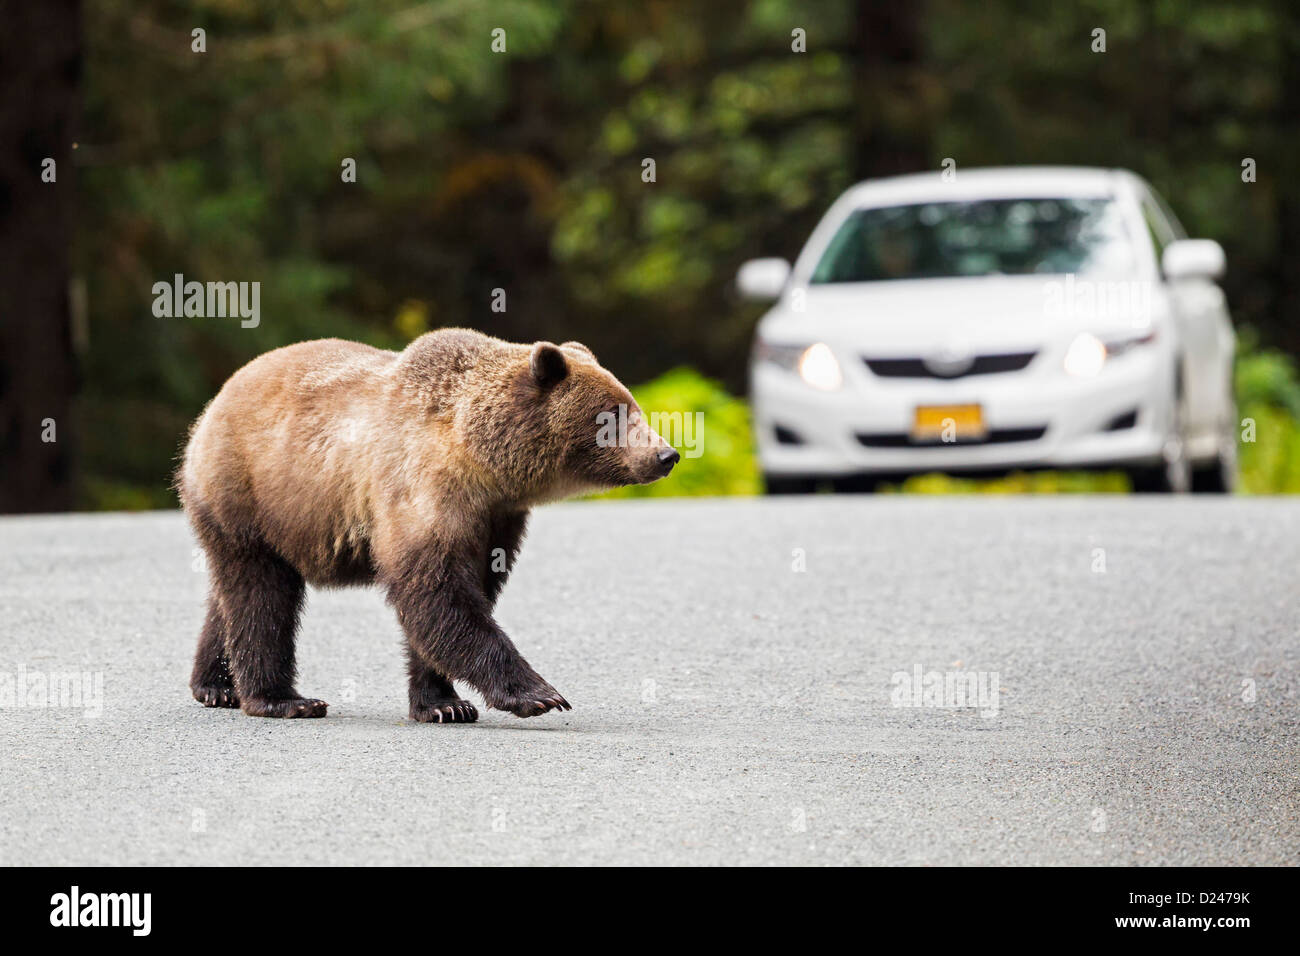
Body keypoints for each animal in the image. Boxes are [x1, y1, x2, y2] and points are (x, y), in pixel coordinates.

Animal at [176, 328, 679, 722]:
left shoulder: (497, 519)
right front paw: (538, 694)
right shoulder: (421, 490)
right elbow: (437, 593)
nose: (666, 454)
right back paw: (282, 699)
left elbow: (467, 593)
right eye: (613, 414)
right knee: (262, 595)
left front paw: (443, 702)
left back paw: (216, 685)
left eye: (633, 406)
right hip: (248, 493)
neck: (484, 463)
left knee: (231, 596)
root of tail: (213, 404)